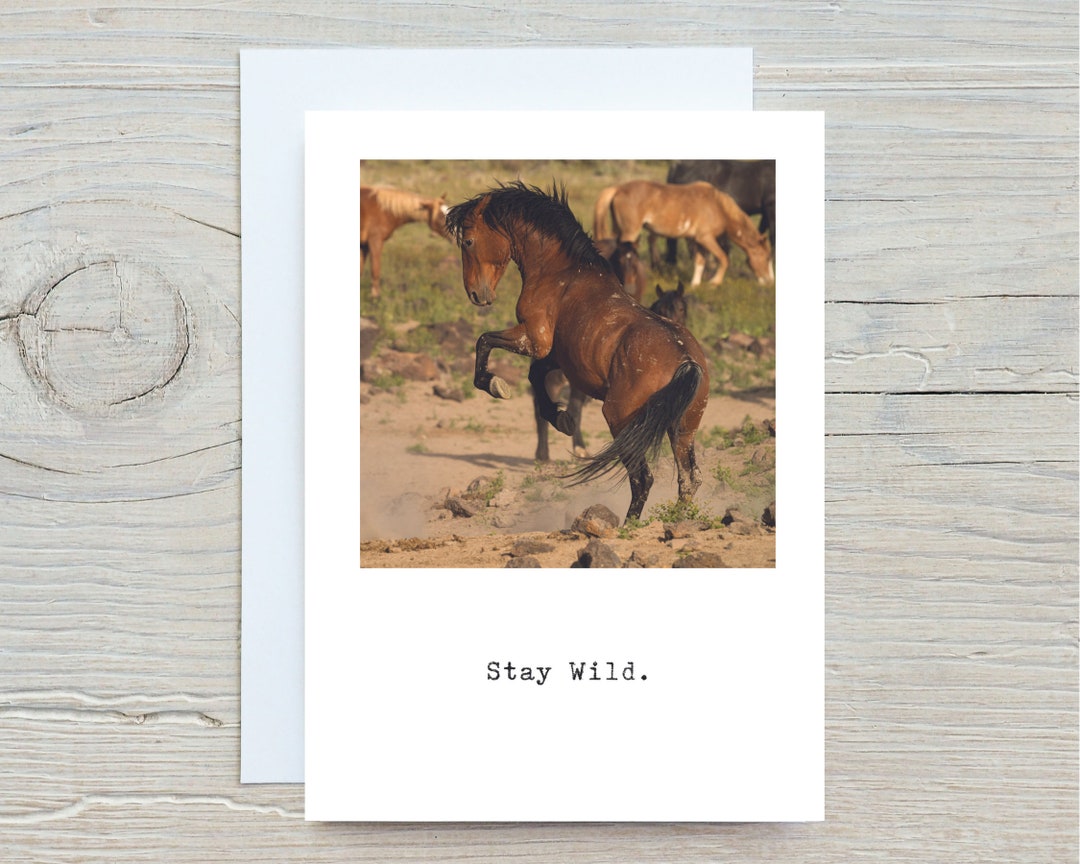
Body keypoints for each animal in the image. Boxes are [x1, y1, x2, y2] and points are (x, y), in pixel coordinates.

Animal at [445, 181, 709, 523]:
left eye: (468, 241)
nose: (477, 294)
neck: (561, 272)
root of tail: (687, 361)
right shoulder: (555, 357)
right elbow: (536, 379)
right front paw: (562, 419)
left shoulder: (534, 340)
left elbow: (484, 341)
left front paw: (495, 385)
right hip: (683, 428)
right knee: (689, 478)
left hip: (620, 418)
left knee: (642, 478)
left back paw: (627, 526)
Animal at [594, 180, 773, 286]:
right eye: (766, 258)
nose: (770, 281)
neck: (718, 206)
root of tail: (618, 188)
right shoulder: (706, 238)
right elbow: (723, 258)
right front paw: (714, 282)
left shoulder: (696, 240)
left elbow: (700, 261)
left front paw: (695, 284)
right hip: (630, 232)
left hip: (619, 229)